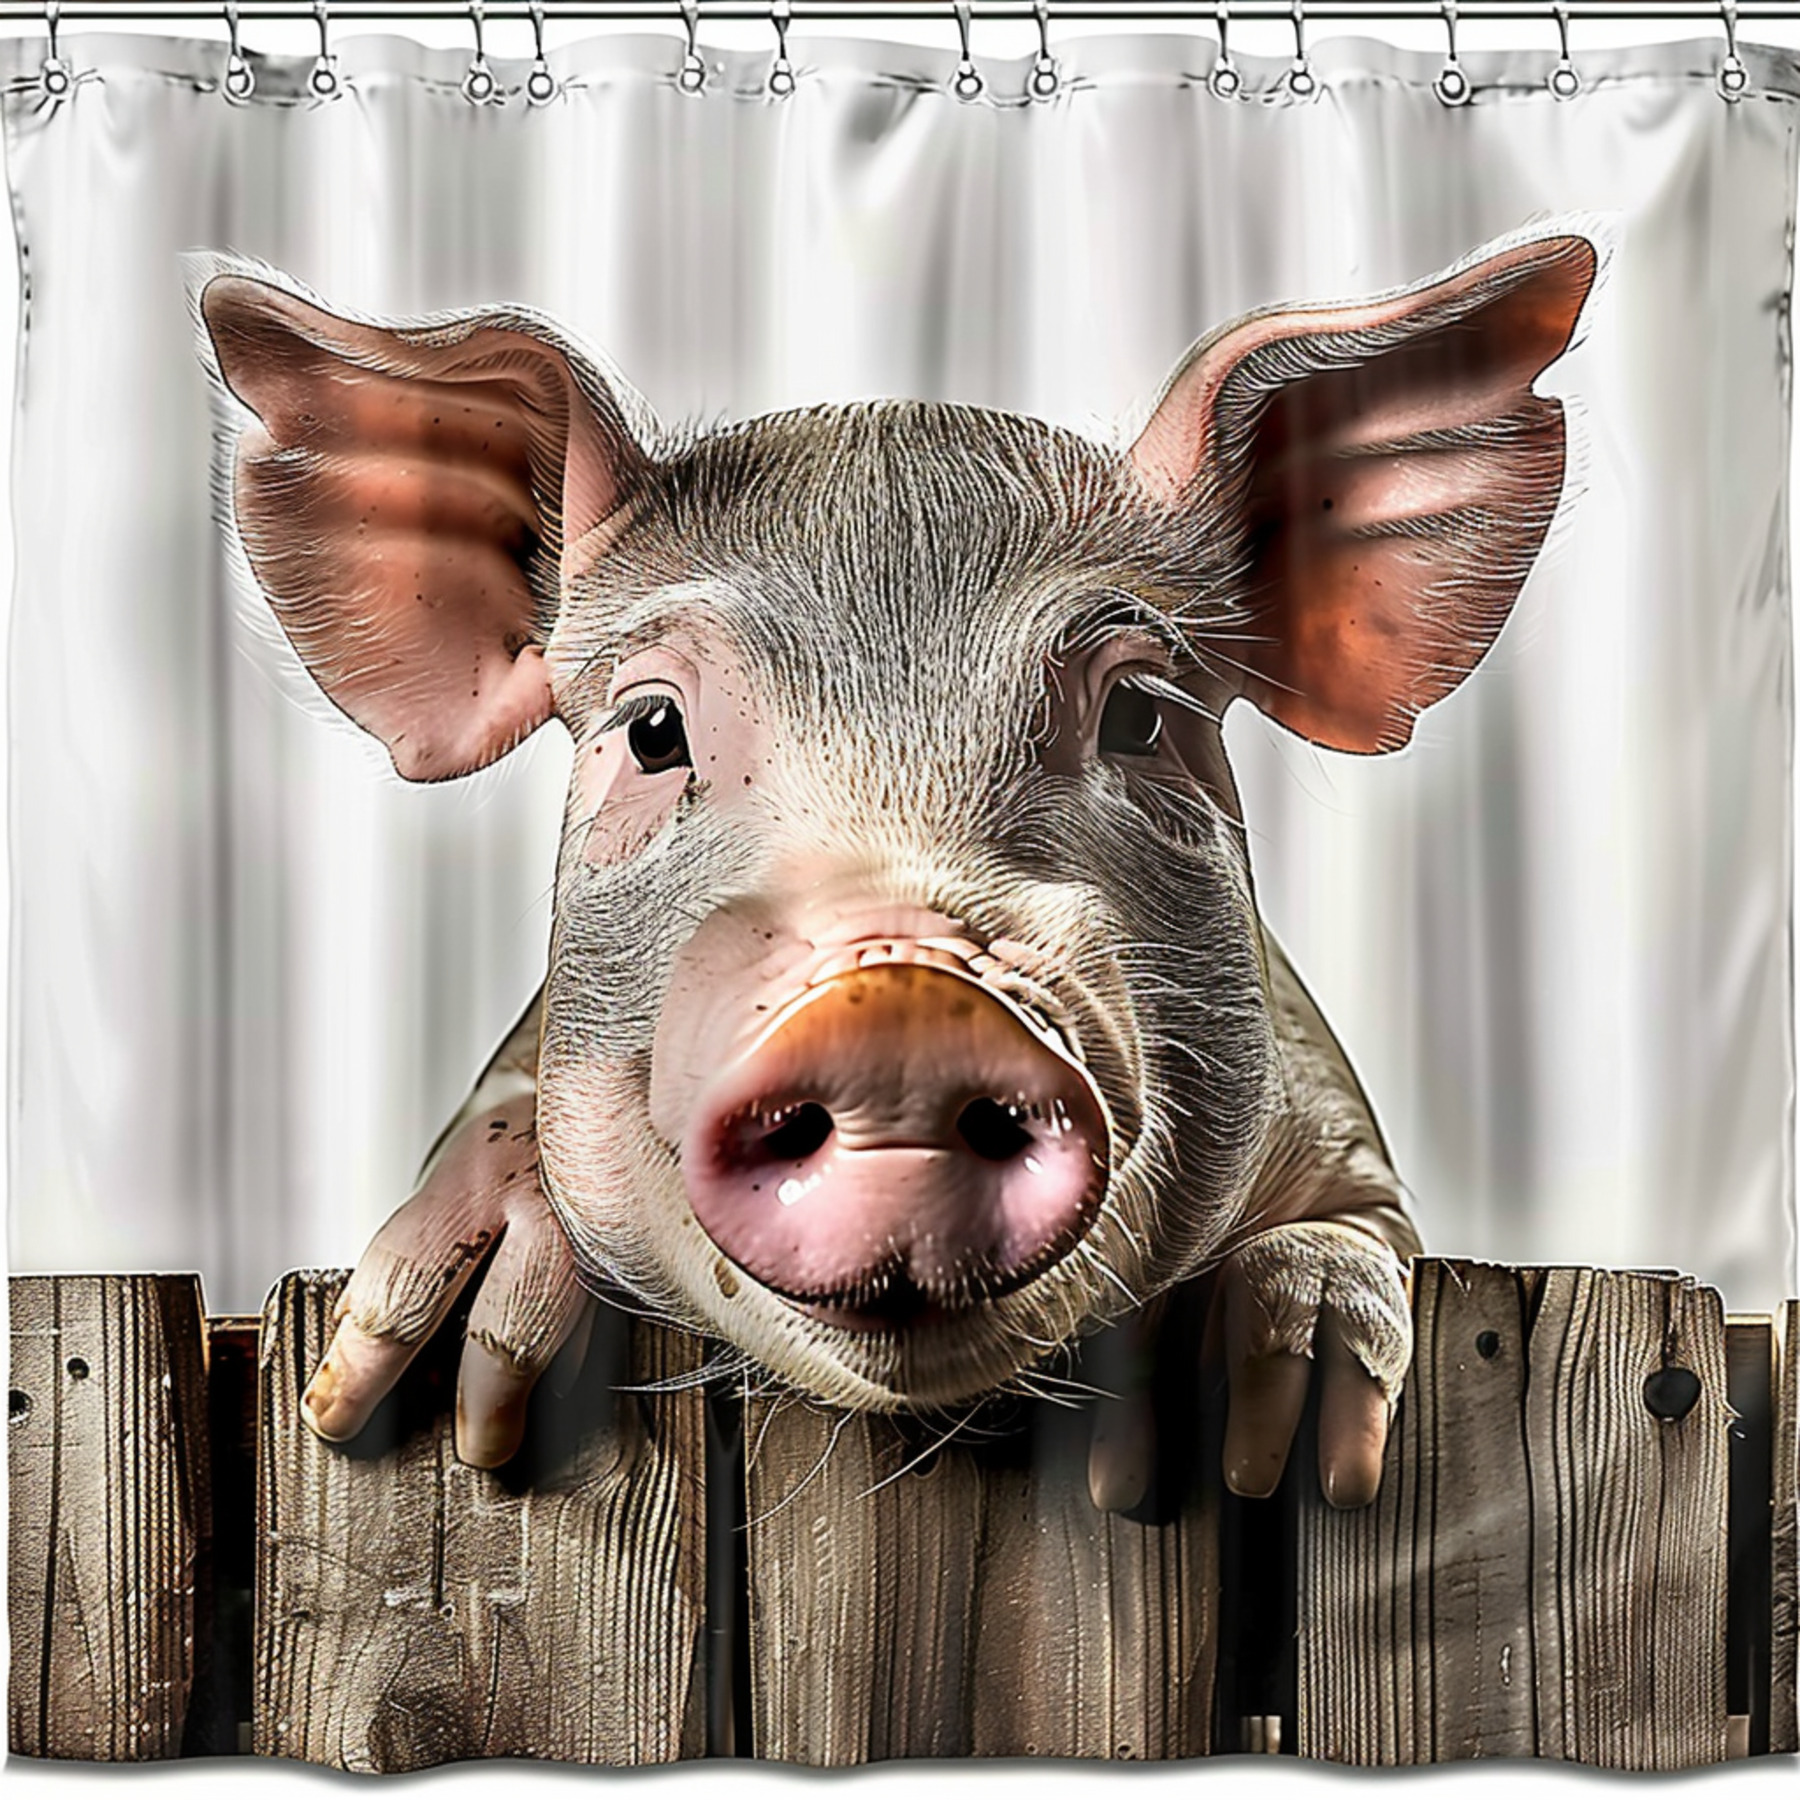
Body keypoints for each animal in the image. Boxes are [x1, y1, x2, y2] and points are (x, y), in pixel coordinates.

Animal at [196, 224, 1597, 1514]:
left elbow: (1364, 1233)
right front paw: (429, 1402)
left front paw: (1281, 1452)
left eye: (1139, 713)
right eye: (652, 729)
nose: (904, 1003)